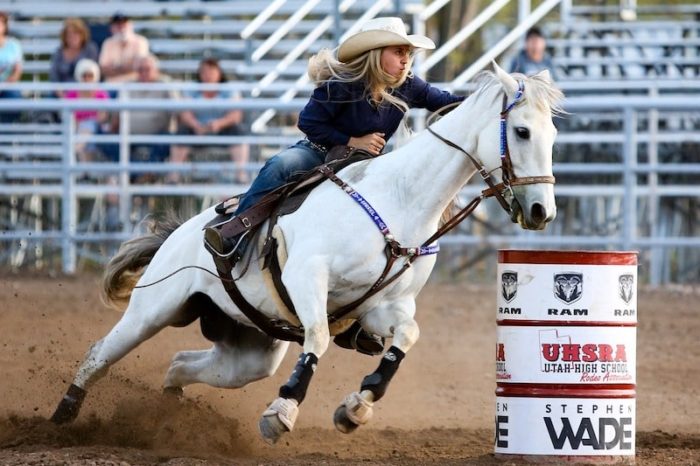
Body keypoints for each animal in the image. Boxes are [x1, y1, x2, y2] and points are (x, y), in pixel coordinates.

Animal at [50, 63, 563, 445]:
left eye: (553, 136)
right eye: (521, 131)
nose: (542, 211)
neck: (399, 199)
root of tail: (182, 233)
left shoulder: (384, 307)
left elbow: (407, 336)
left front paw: (357, 407)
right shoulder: (308, 278)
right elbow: (316, 337)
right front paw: (282, 411)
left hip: (249, 352)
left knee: (180, 364)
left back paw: (168, 415)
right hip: (154, 309)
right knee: (100, 353)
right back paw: (61, 416)